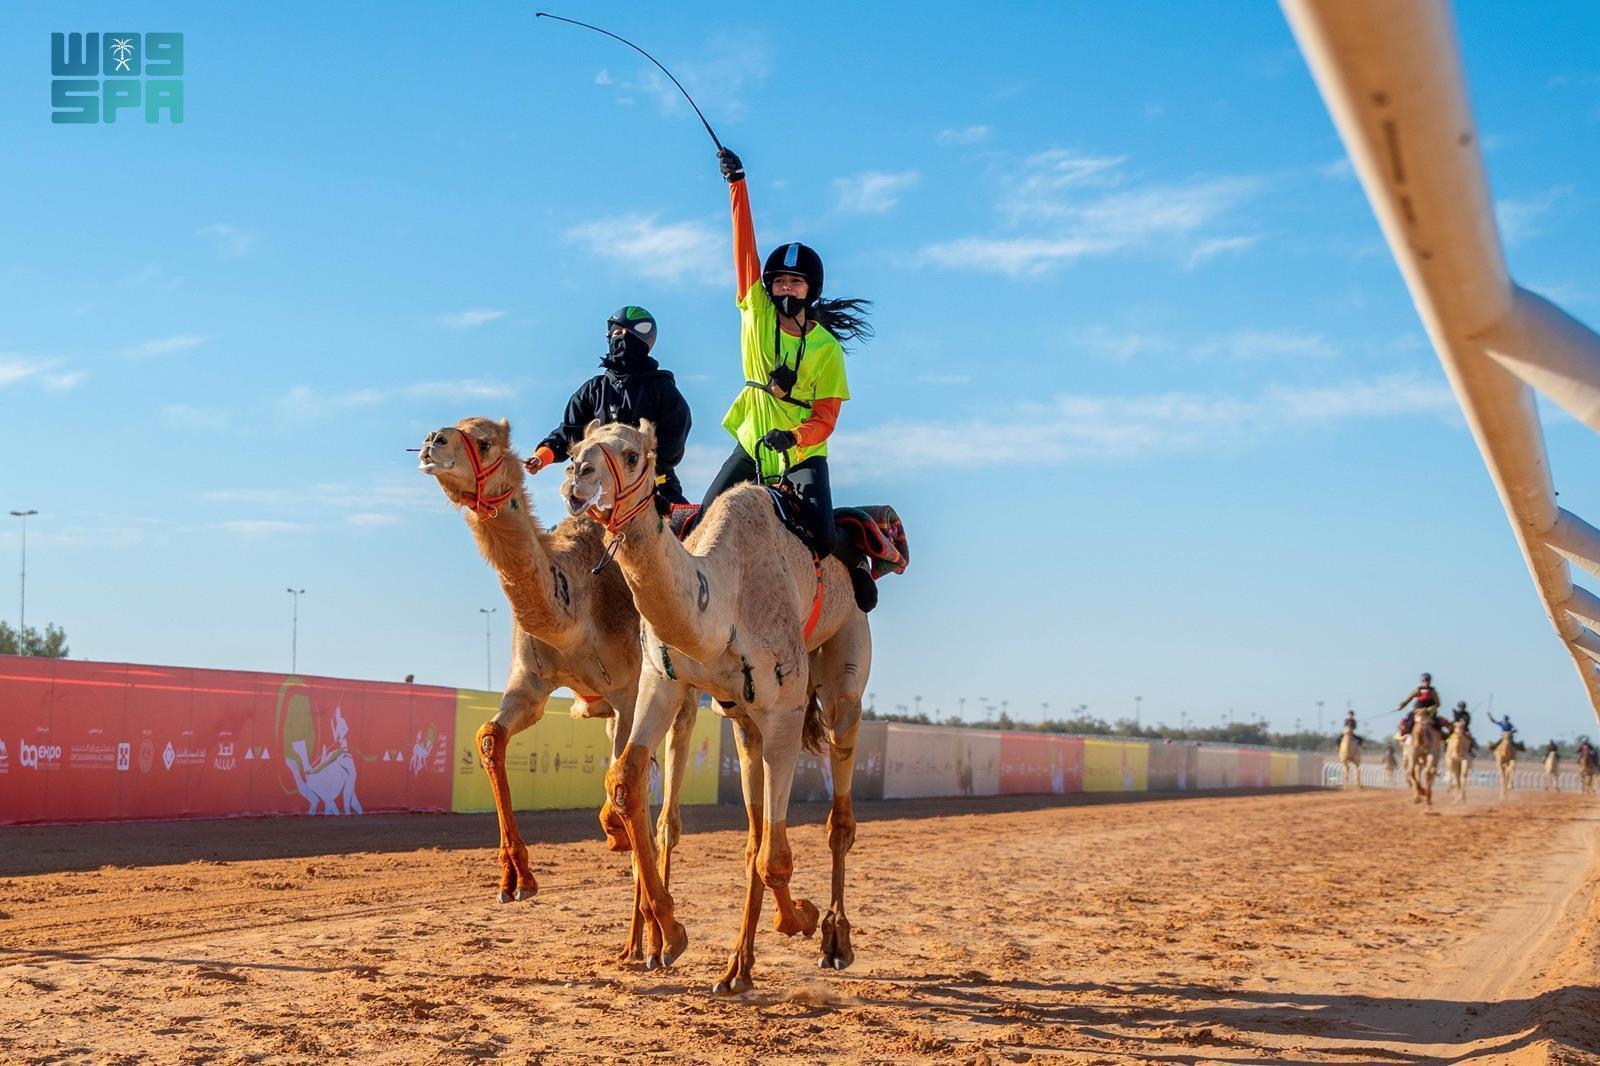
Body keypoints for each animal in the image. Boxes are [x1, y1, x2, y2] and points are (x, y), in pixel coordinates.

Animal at [419, 418, 698, 965]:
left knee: (663, 816)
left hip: (680, 697)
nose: (431, 441)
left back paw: (658, 938)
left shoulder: (629, 690)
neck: (575, 606)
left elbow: (624, 790)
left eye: (483, 441)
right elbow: (489, 736)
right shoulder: (530, 684)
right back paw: (634, 944)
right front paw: (516, 879)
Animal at [561, 419, 872, 993]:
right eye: (574, 450)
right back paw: (737, 970)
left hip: (843, 668)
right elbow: (626, 781)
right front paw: (670, 935)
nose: (578, 478)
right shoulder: (665, 680)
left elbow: (777, 857)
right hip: (743, 721)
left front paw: (802, 917)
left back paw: (835, 942)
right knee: (755, 833)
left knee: (837, 806)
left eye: (633, 455)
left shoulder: (785, 708)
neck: (719, 601)